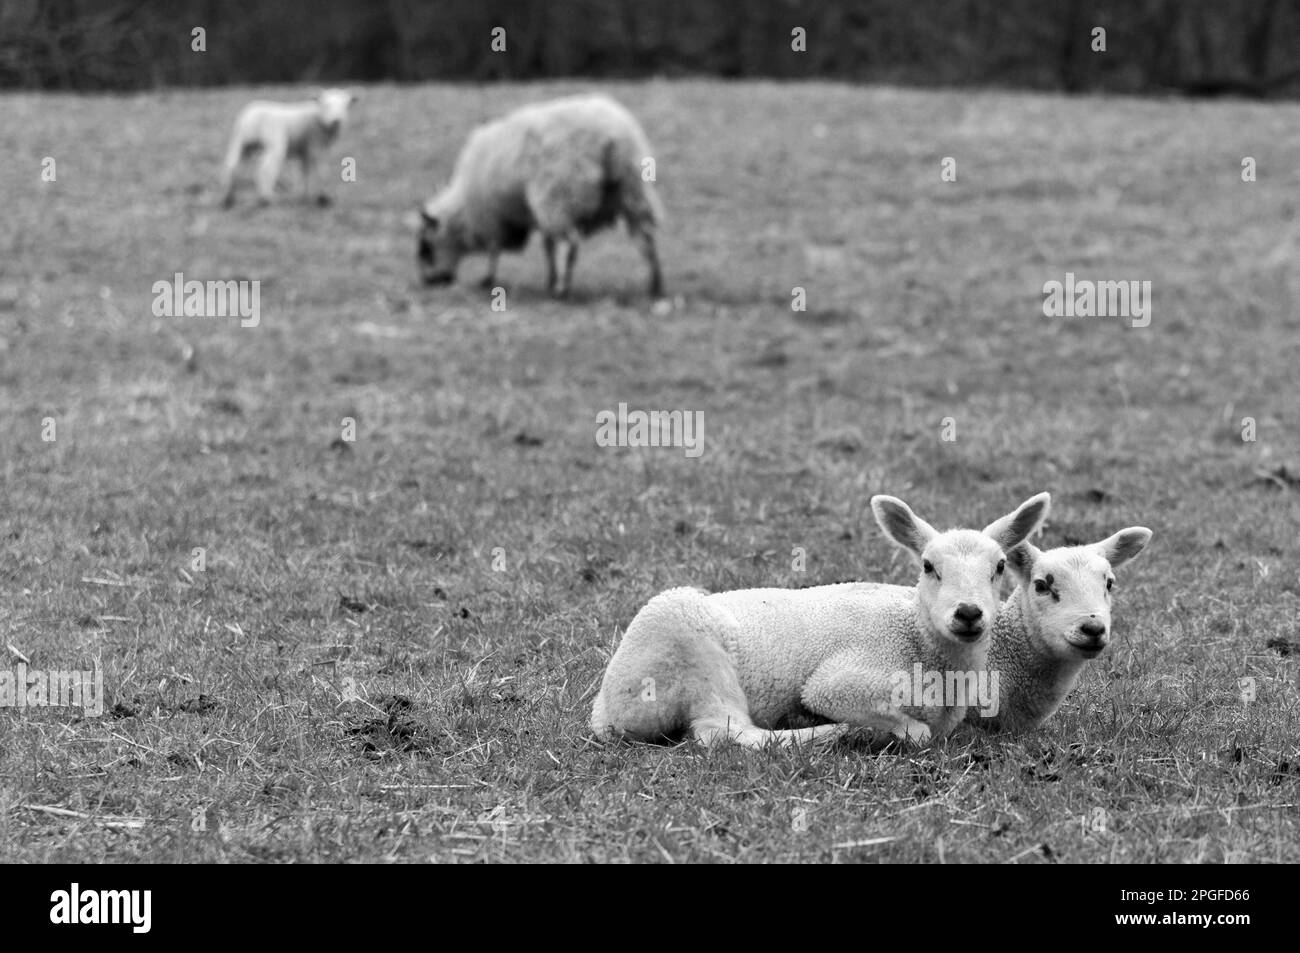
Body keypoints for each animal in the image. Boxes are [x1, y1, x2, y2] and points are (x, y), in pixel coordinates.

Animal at [219, 89, 358, 208]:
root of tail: (252, 117)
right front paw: (324, 198)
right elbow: (323, 171)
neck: (318, 119)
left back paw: (228, 199)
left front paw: (303, 195)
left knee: (232, 166)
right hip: (274, 144)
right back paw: (266, 198)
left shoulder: (303, 151)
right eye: (326, 105)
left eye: (345, 106)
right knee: (265, 168)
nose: (337, 120)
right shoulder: (316, 146)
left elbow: (303, 171)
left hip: (241, 142)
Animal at [417, 94, 664, 298]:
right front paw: (550, 277)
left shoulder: (493, 216)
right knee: (646, 238)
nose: (428, 282)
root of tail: (613, 139)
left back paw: (562, 291)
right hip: (633, 191)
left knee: (571, 245)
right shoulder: (534, 213)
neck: (464, 212)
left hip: (560, 197)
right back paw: (655, 287)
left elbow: (495, 250)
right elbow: (547, 246)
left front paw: (487, 279)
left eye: (426, 248)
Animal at [590, 492, 1051, 748]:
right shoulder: (842, 681)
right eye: (928, 566)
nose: (969, 612)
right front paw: (866, 729)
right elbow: (915, 732)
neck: (917, 638)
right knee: (722, 731)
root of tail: (604, 710)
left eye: (999, 567)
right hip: (689, 649)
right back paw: (830, 733)